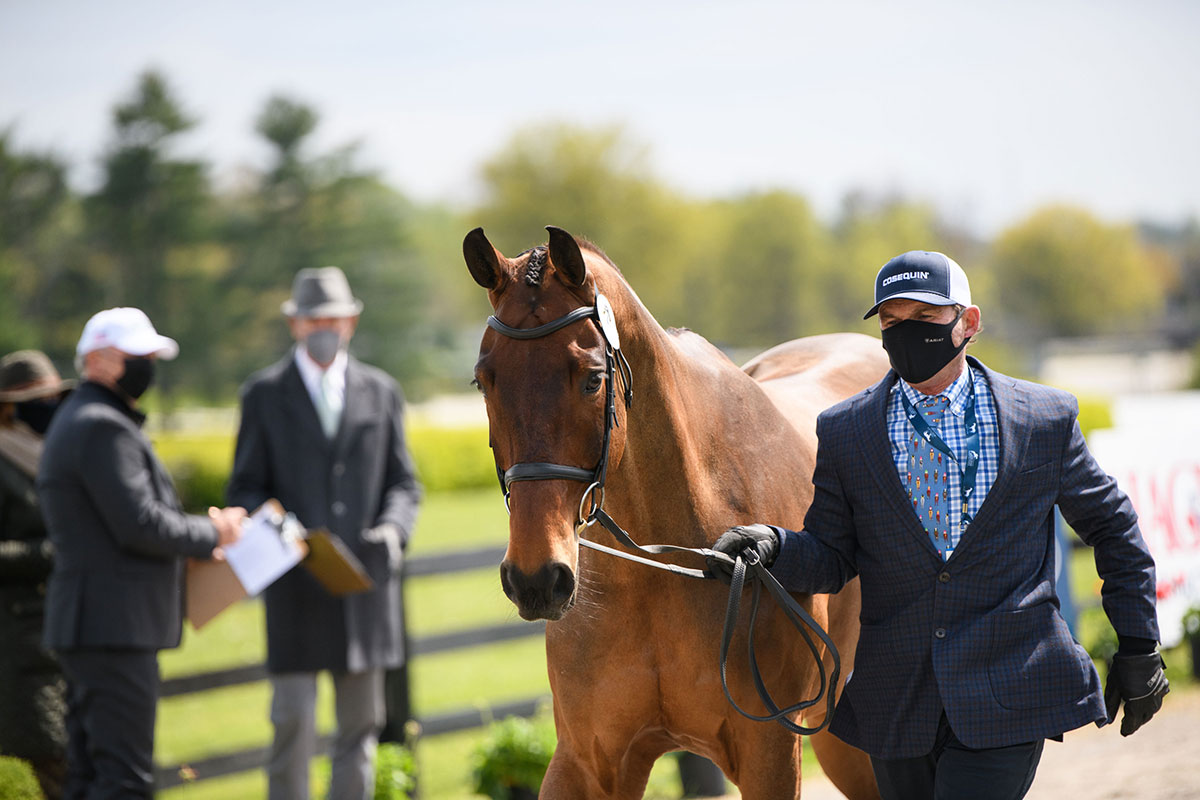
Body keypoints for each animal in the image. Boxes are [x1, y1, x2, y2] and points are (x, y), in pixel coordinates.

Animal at [463, 225, 889, 799]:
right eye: (484, 381)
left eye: (592, 378)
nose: (536, 579)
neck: (656, 573)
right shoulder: (587, 759)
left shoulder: (771, 753)